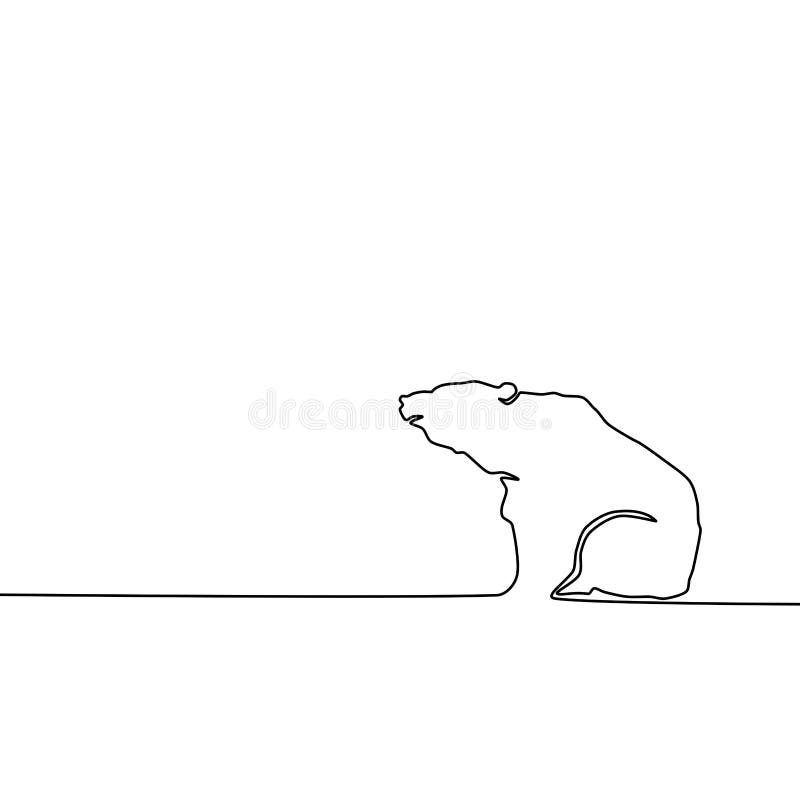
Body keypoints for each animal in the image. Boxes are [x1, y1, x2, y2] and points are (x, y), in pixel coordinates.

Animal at [398, 380, 702, 601]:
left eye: (442, 392)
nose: (405, 399)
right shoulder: (516, 482)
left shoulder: (559, 482)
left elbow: (552, 531)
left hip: (645, 532)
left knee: (609, 534)